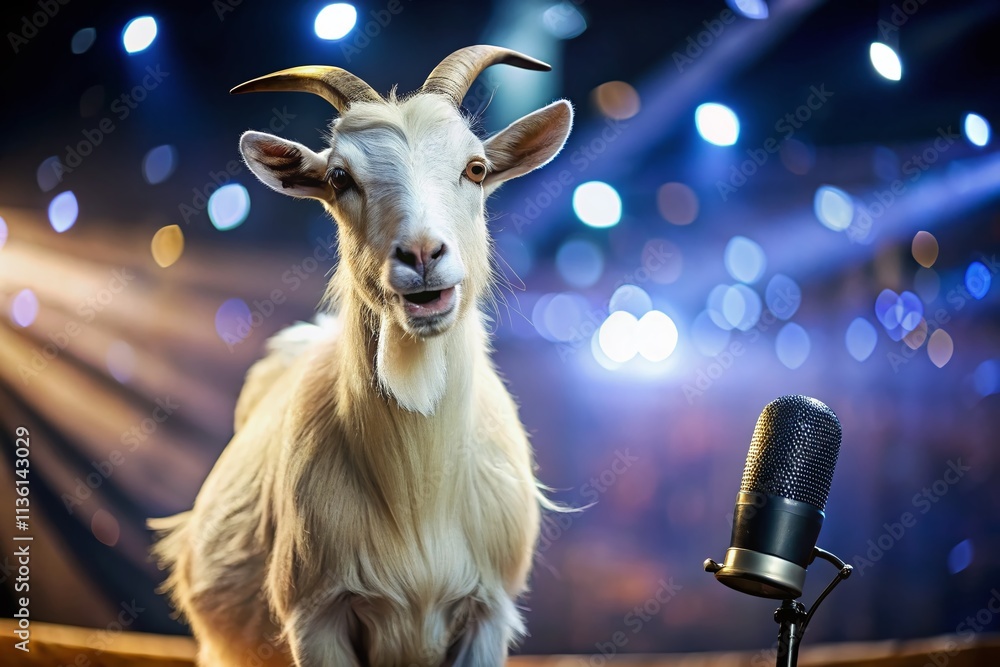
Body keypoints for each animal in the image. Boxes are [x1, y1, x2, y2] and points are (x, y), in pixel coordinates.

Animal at [149, 45, 573, 667]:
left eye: (475, 168)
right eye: (339, 177)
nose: (421, 254)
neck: (419, 495)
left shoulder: (489, 611)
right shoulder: (315, 615)